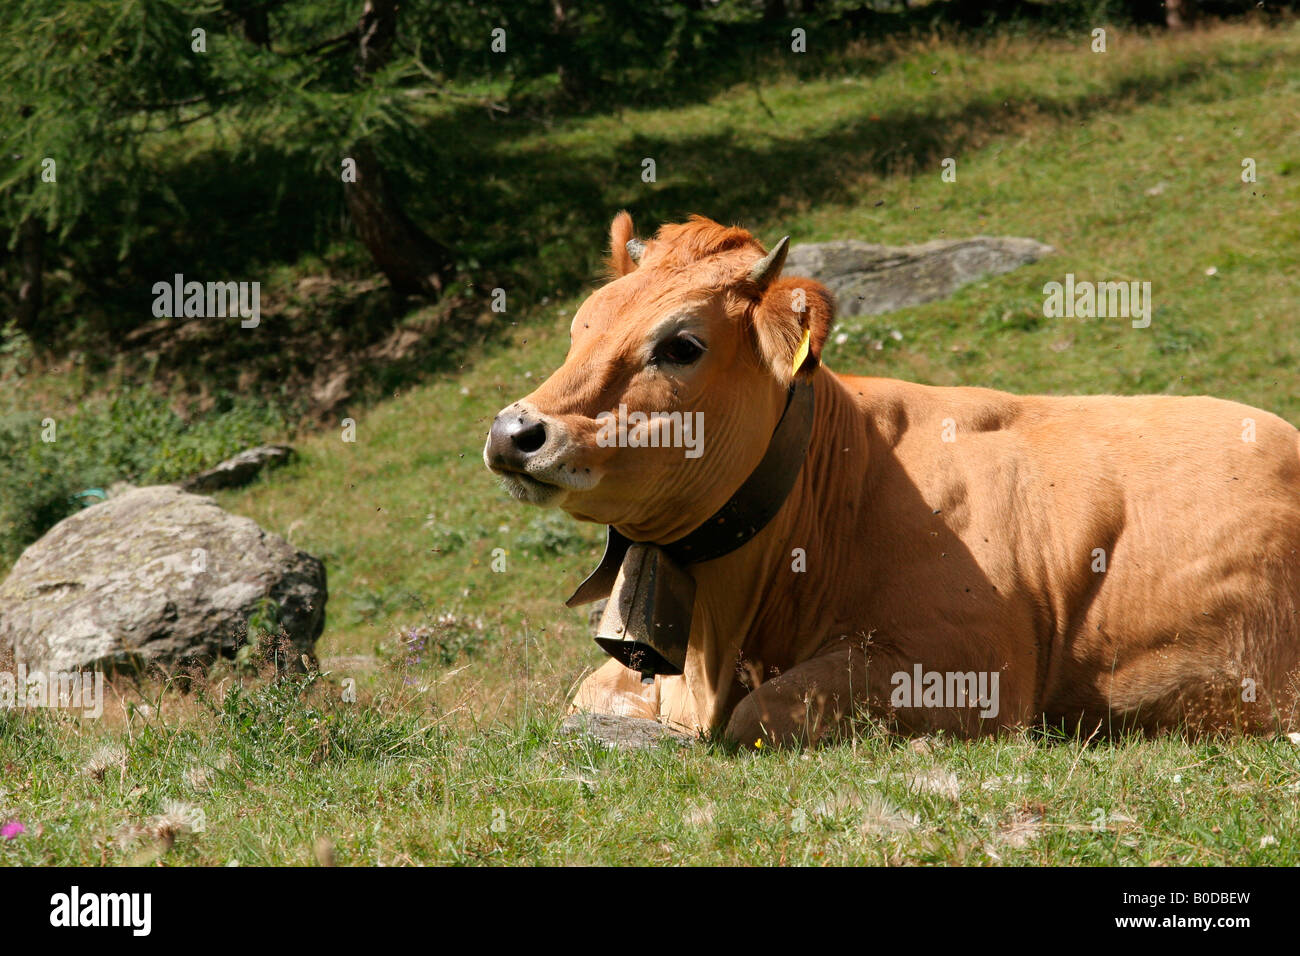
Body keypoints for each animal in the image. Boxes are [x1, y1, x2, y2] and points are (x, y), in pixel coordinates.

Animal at [484, 212, 1300, 746]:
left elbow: (759, 716)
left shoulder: (971, 666)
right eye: (580, 327)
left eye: (681, 344)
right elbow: (586, 695)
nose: (514, 432)